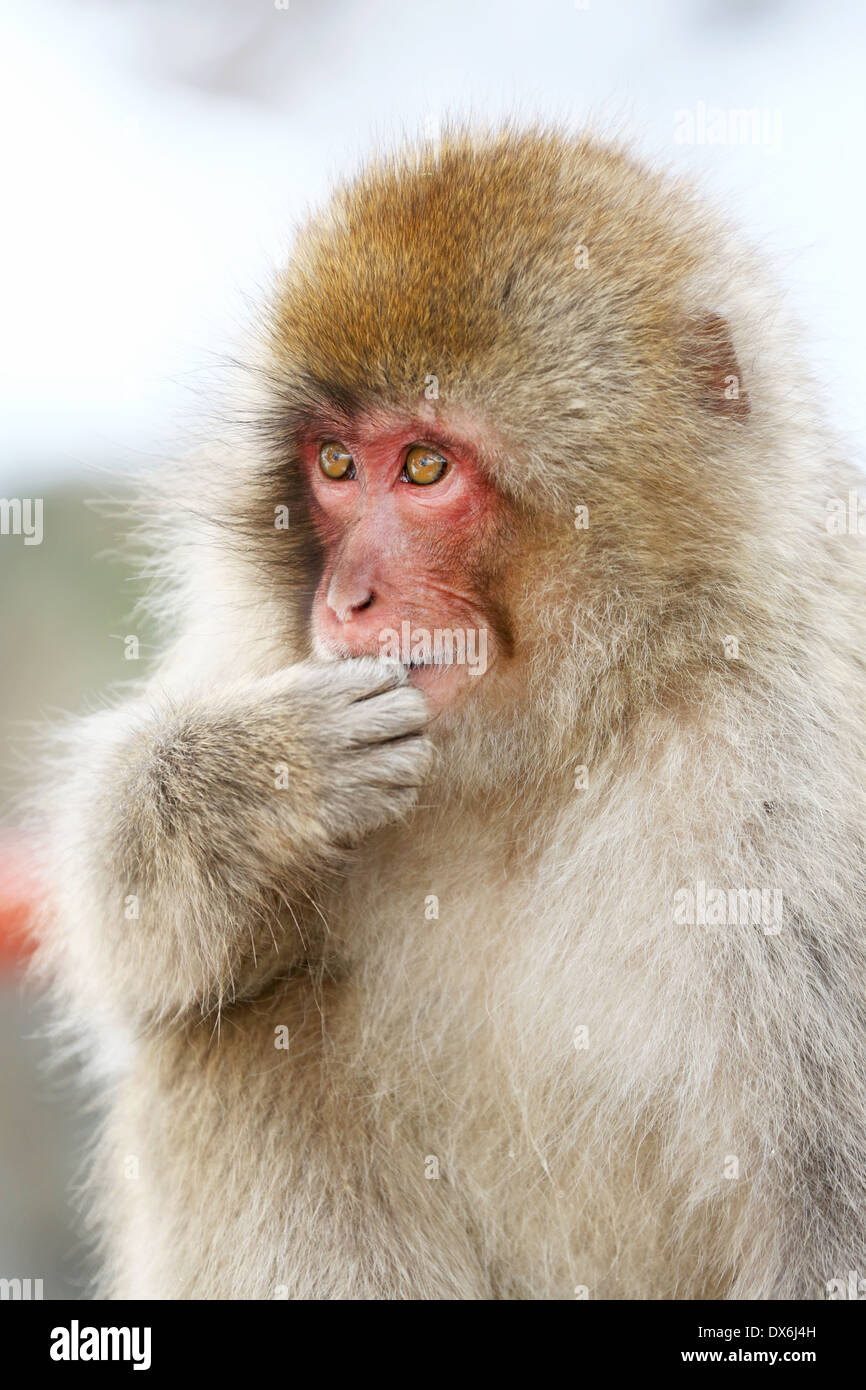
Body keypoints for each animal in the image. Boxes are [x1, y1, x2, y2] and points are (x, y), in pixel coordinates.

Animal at [35, 125, 866, 1295]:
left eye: (425, 466)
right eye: (336, 463)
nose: (346, 597)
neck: (561, 735)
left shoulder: (799, 772)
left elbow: (826, 1211)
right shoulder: (283, 653)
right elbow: (127, 942)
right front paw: (252, 783)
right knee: (234, 1027)